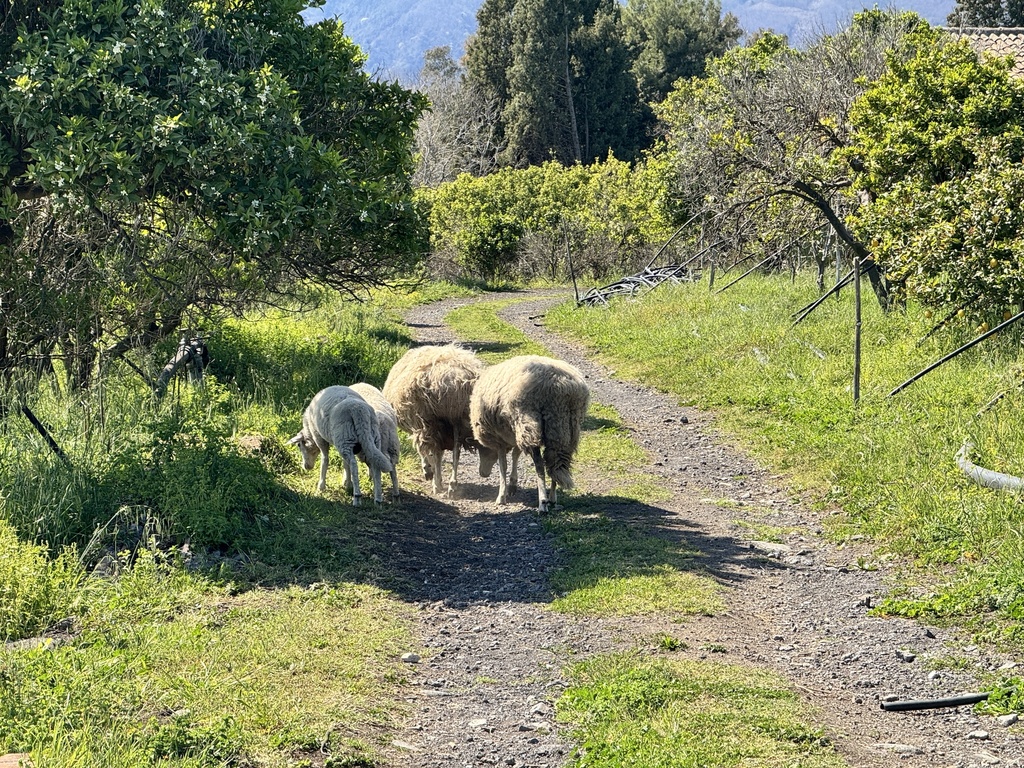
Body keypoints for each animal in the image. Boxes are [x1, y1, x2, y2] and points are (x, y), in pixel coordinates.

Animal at [382, 344, 484, 497]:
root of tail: (454, 381)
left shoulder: (419, 423)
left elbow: (424, 450)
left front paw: (429, 471)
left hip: (428, 419)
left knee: (433, 449)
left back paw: (436, 482)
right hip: (460, 420)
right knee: (455, 452)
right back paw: (452, 485)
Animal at [470, 355, 590, 512]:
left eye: (481, 450)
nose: (483, 474)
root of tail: (559, 385)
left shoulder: (501, 439)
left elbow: (503, 465)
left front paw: (501, 496)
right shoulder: (515, 432)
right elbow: (515, 454)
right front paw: (512, 485)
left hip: (529, 422)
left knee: (540, 465)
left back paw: (543, 502)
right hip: (564, 427)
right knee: (555, 462)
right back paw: (552, 498)